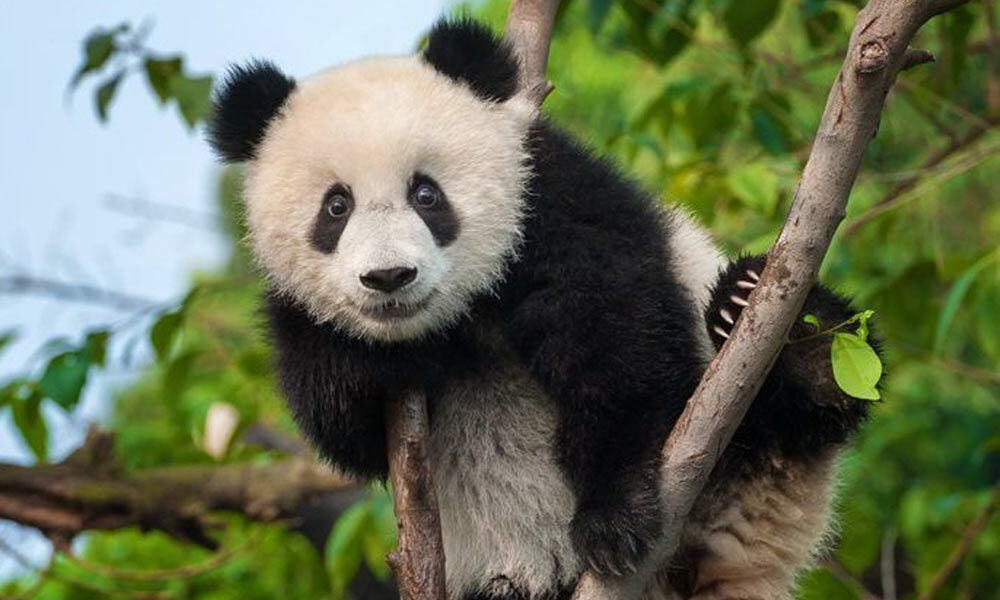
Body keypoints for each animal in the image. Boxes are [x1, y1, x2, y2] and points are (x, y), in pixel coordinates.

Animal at [208, 18, 873, 600]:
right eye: (335, 207)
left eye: (426, 194)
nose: (390, 277)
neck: (463, 312)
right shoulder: (295, 312)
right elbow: (341, 422)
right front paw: (378, 363)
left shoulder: (550, 198)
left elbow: (616, 339)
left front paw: (613, 518)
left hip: (743, 435)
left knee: (798, 409)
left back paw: (786, 333)